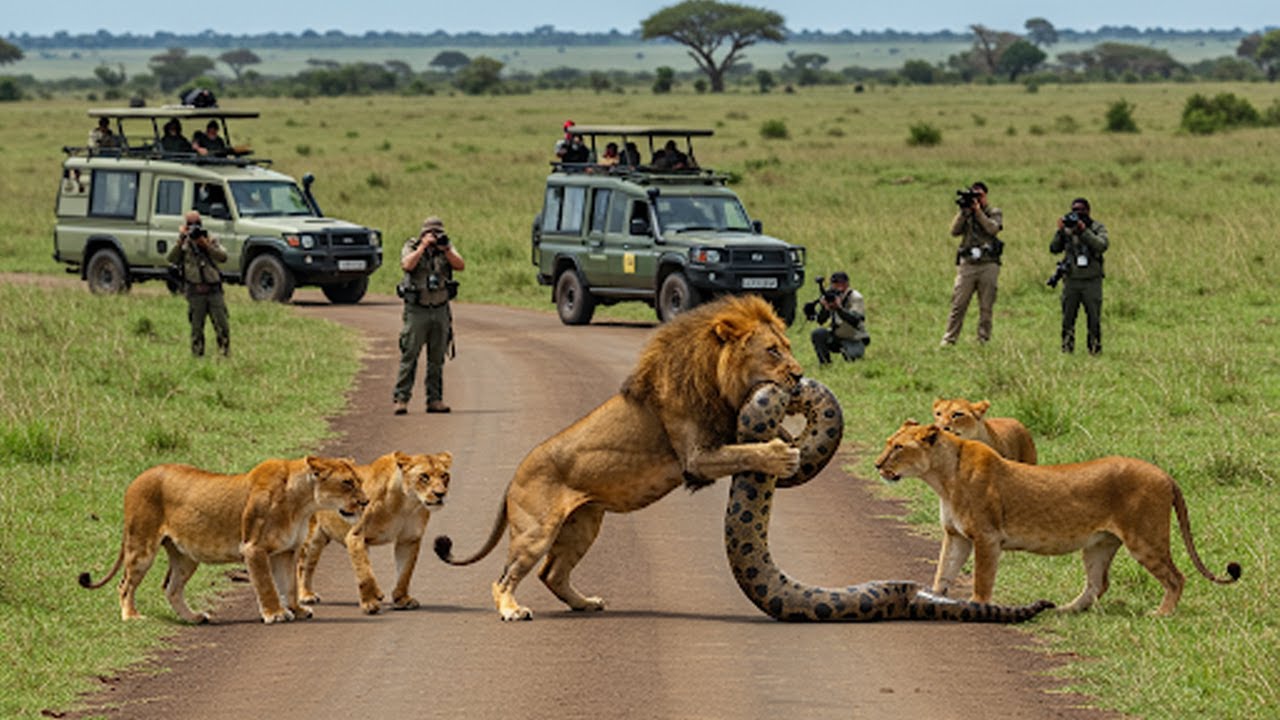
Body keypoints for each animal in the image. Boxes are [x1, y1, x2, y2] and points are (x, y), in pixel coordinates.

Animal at [79, 456, 367, 624]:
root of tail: (136, 478)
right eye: (347, 482)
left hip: (186, 557)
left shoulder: (286, 551)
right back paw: (131, 616)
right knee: (125, 584)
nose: (365, 502)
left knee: (171, 588)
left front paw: (296, 609)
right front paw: (275, 614)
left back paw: (194, 617)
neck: (302, 503)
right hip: (142, 545)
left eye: (360, 481)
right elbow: (267, 585)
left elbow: (290, 585)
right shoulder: (254, 548)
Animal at [298, 451, 452, 614]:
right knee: (303, 565)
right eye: (424, 476)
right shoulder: (355, 536)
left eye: (444, 476)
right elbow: (364, 573)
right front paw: (370, 602)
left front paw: (402, 599)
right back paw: (306, 595)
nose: (440, 494)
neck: (406, 503)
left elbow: (405, 573)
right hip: (312, 538)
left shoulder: (409, 539)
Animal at [434, 294, 803, 621]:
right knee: (503, 578)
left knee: (551, 573)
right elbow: (743, 453)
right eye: (772, 350)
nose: (800, 375)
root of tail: (513, 476)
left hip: (582, 526)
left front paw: (789, 439)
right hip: (536, 532)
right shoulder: (696, 458)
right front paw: (779, 454)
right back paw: (512, 610)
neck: (716, 378)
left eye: (788, 346)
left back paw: (585, 603)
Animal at [874, 421, 1241, 615]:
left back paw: (1160, 614)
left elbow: (981, 579)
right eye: (888, 442)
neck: (942, 478)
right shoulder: (957, 536)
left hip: (1145, 539)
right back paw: (1065, 610)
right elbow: (943, 573)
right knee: (1097, 584)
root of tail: (1165, 475)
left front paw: (978, 607)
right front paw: (934, 600)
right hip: (1099, 544)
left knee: (1177, 577)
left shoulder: (986, 536)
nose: (877, 465)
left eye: (898, 447)